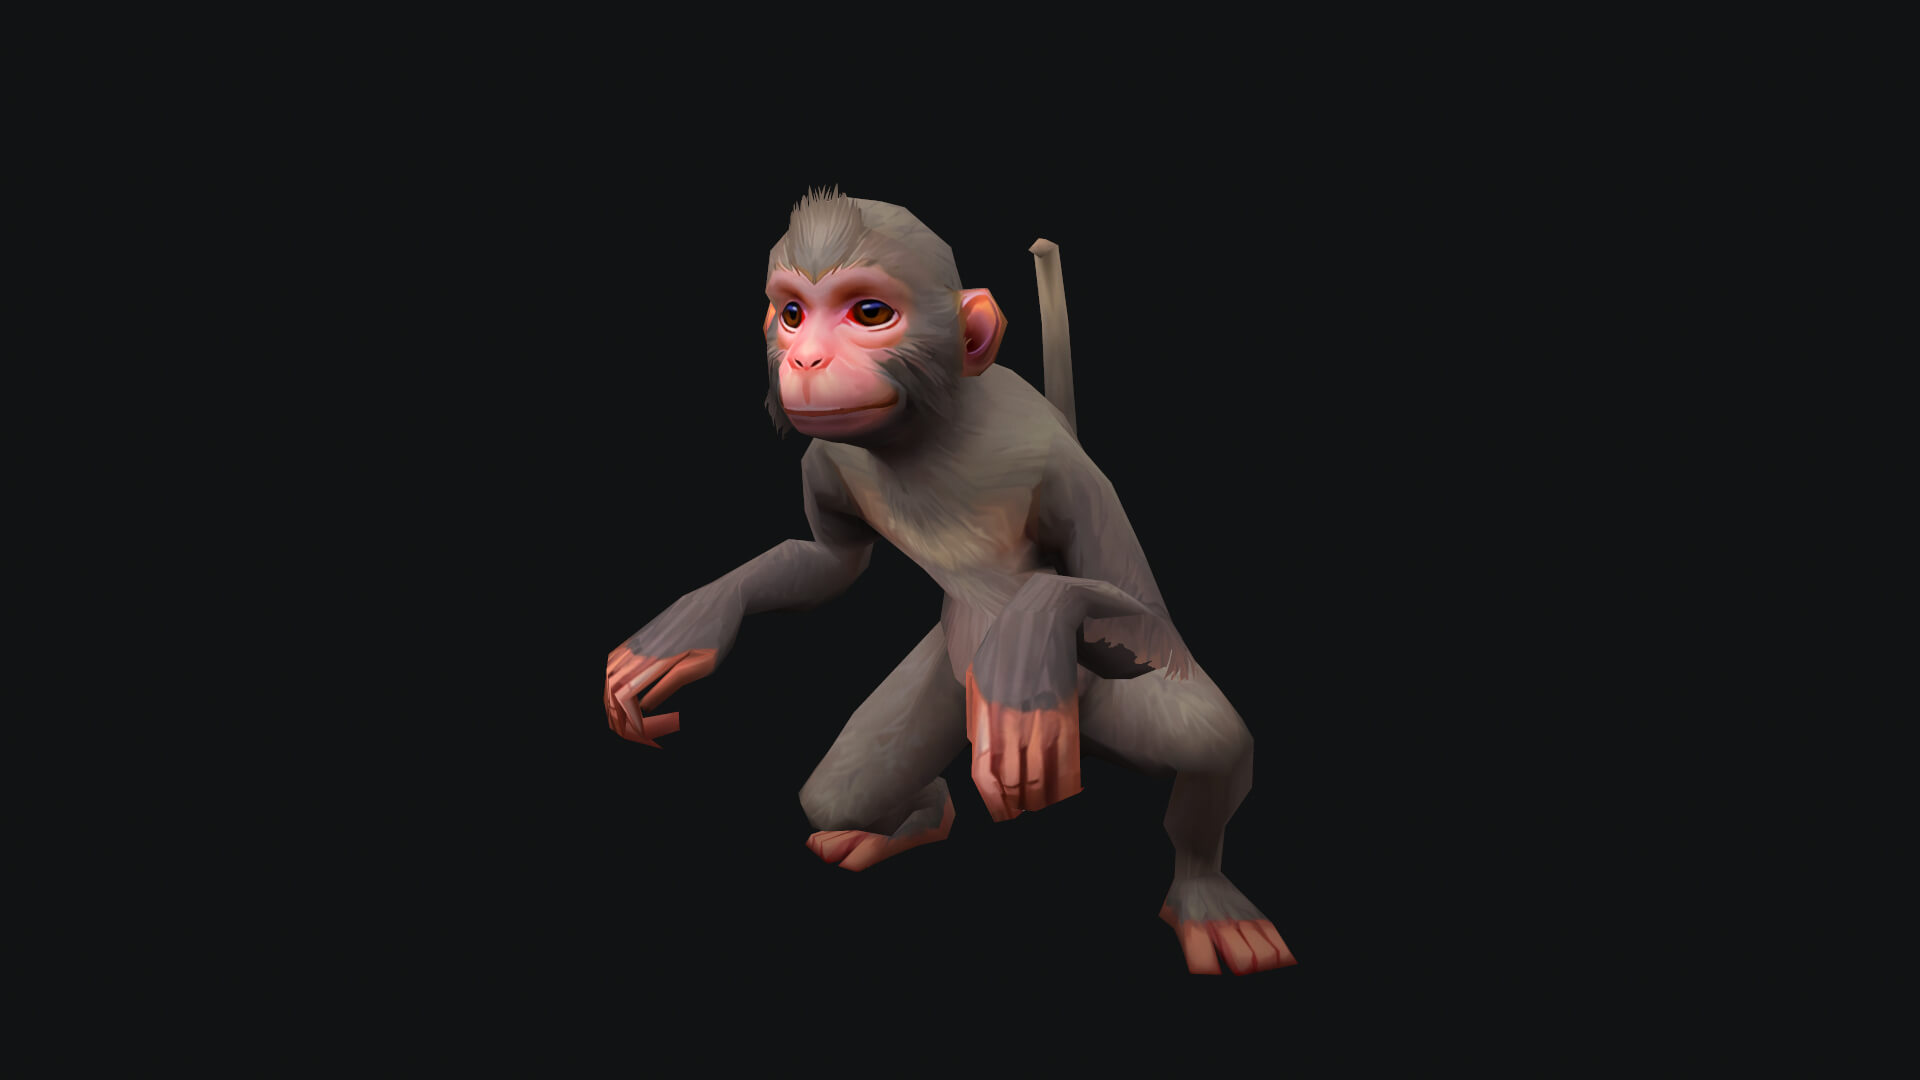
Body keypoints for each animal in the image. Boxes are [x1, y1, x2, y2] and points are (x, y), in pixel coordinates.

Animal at [602, 188, 1295, 976]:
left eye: (870, 313)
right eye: (793, 313)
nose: (806, 357)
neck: (927, 432)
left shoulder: (1063, 467)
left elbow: (1145, 619)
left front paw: (1029, 649)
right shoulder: (826, 457)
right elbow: (829, 559)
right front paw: (692, 623)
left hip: (1095, 704)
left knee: (1210, 740)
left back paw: (1205, 894)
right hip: (945, 680)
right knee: (841, 793)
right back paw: (910, 819)